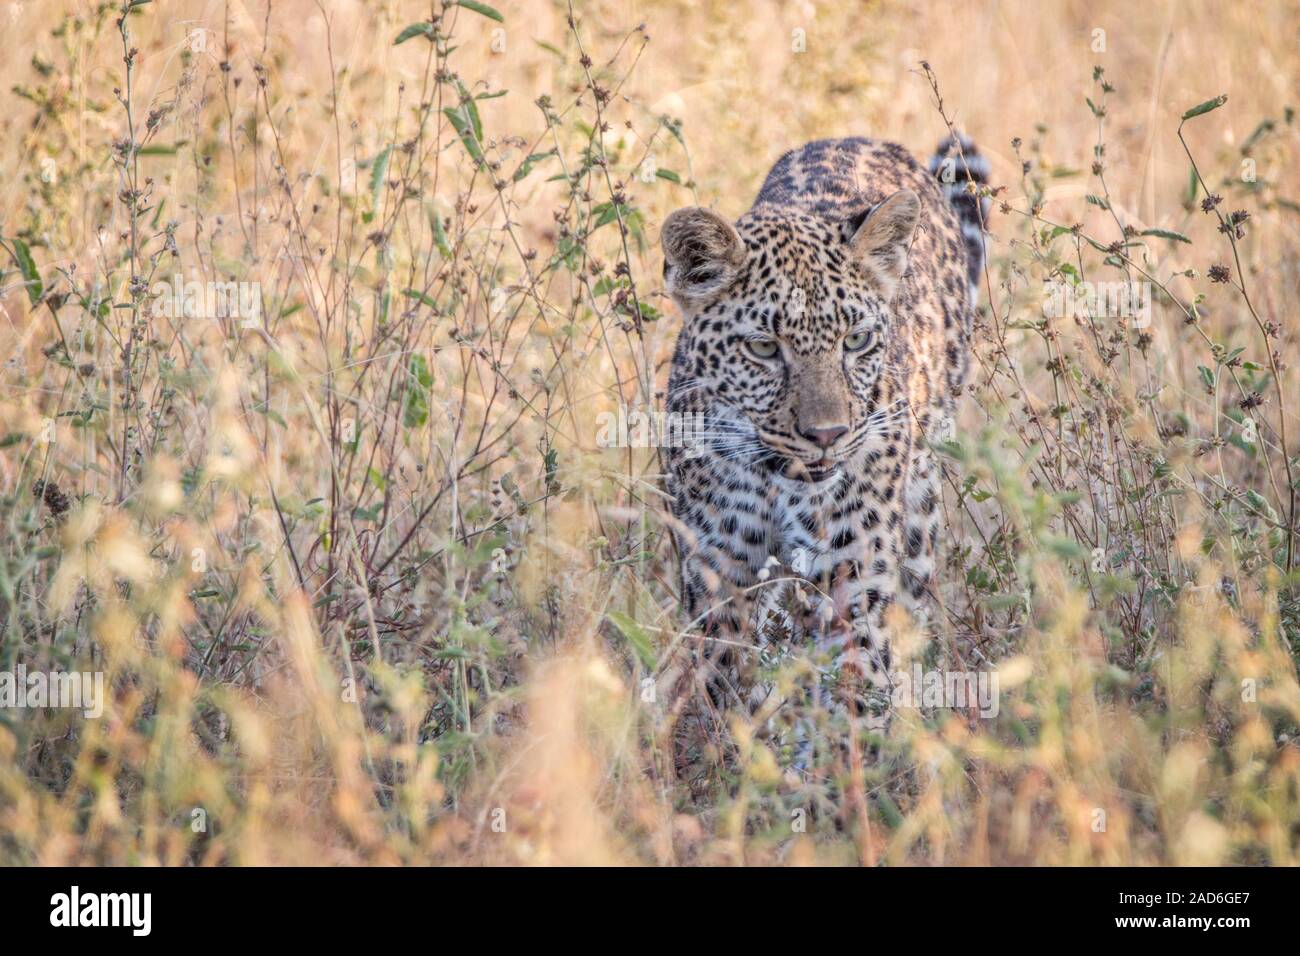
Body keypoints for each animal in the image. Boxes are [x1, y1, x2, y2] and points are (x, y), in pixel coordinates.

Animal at [659, 135, 988, 743]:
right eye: (764, 348)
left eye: (855, 341)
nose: (827, 435)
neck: (776, 476)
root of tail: (862, 138)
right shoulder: (719, 569)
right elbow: (730, 679)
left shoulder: (853, 568)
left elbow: (855, 680)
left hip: (920, 508)